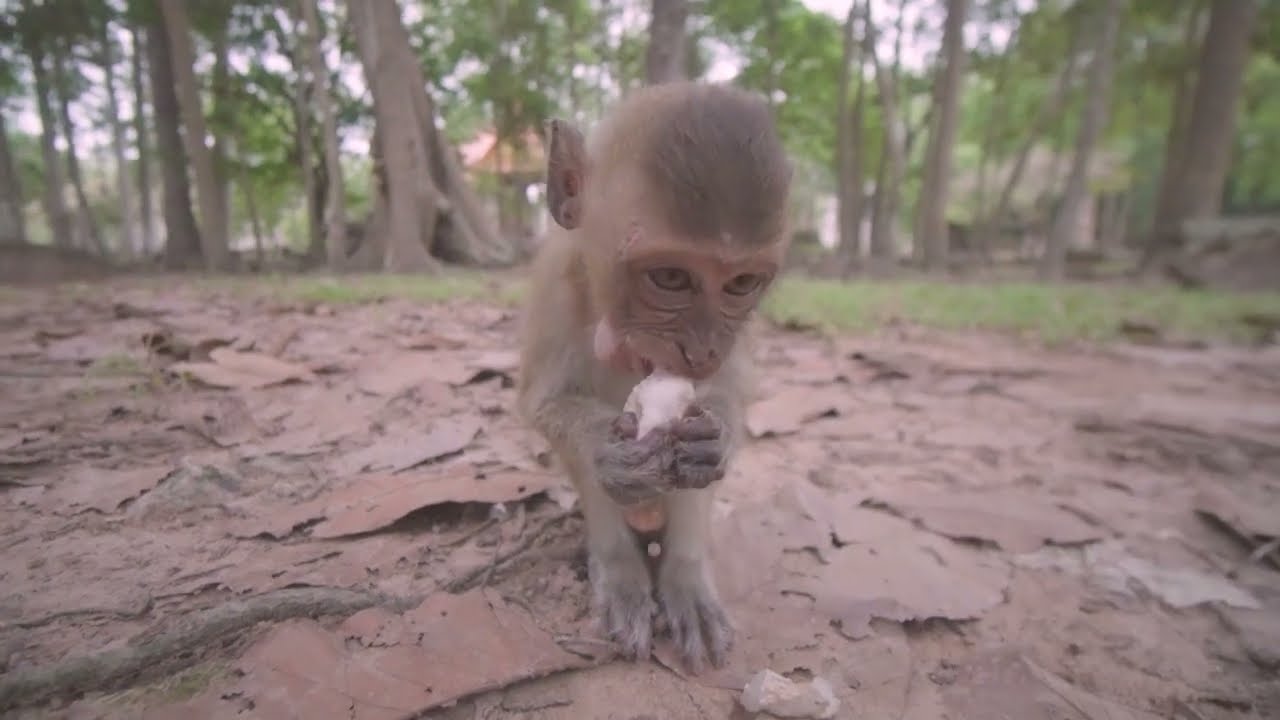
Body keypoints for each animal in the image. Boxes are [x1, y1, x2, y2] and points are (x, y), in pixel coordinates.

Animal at [516, 81, 792, 672]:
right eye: (669, 277)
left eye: (741, 284)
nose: (702, 349)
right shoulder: (554, 284)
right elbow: (543, 404)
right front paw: (607, 449)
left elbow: (731, 390)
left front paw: (713, 439)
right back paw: (620, 569)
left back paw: (685, 576)